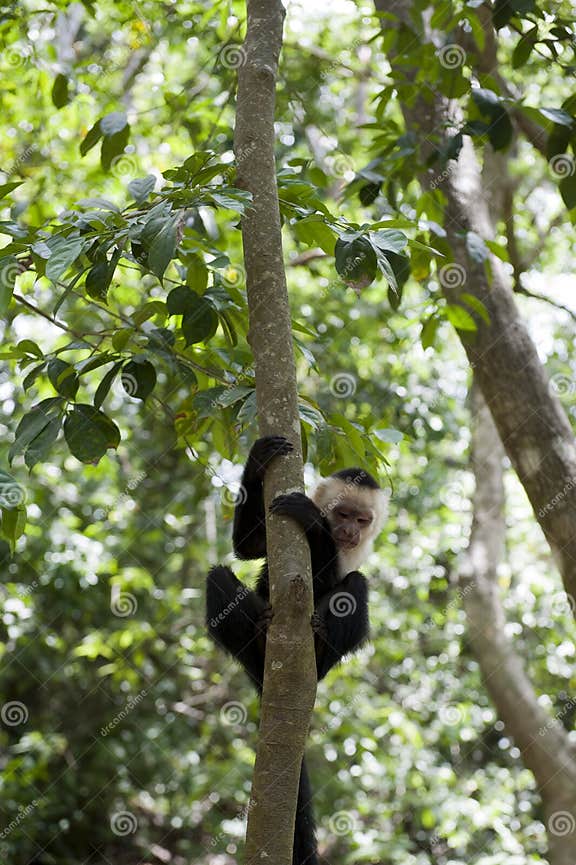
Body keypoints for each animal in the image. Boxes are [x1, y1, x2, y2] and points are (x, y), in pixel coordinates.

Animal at [206, 436, 387, 865]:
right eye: (344, 514)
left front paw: (314, 525)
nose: (349, 532)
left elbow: (332, 580)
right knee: (218, 577)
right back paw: (258, 634)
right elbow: (249, 547)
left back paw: (319, 642)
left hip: (325, 662)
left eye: (363, 520)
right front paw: (257, 462)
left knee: (357, 585)